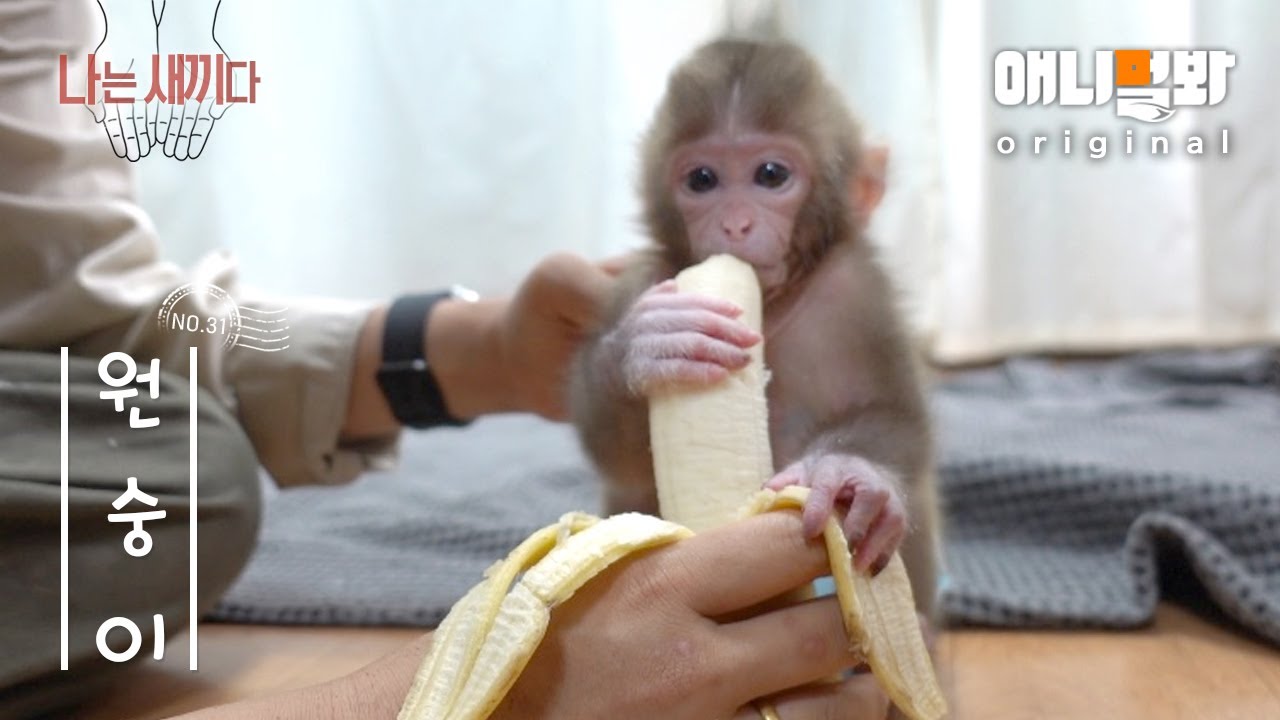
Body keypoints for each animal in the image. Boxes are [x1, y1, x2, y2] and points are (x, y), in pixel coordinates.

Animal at [569, 38, 939, 616]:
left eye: (770, 175)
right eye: (702, 180)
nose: (735, 224)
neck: (774, 300)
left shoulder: (857, 291)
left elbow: (895, 413)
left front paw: (849, 474)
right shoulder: (643, 282)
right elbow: (619, 460)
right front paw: (644, 346)